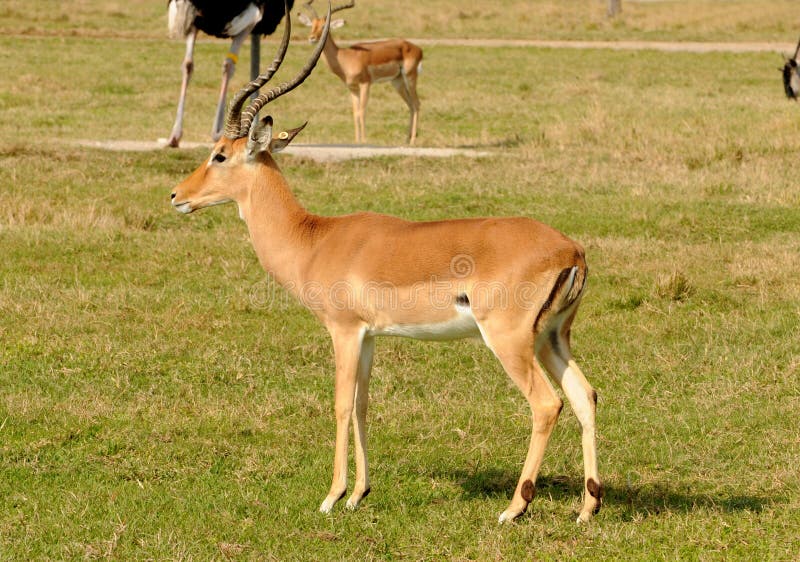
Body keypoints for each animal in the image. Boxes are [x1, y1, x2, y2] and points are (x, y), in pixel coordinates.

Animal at [298, 0, 422, 145]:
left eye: (324, 26)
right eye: (312, 25)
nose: (312, 38)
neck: (345, 57)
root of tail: (417, 48)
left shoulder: (365, 84)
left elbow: (362, 111)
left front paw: (364, 140)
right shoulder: (352, 88)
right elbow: (355, 113)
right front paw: (357, 141)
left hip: (410, 77)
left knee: (416, 103)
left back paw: (413, 141)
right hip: (397, 82)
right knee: (410, 105)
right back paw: (407, 139)